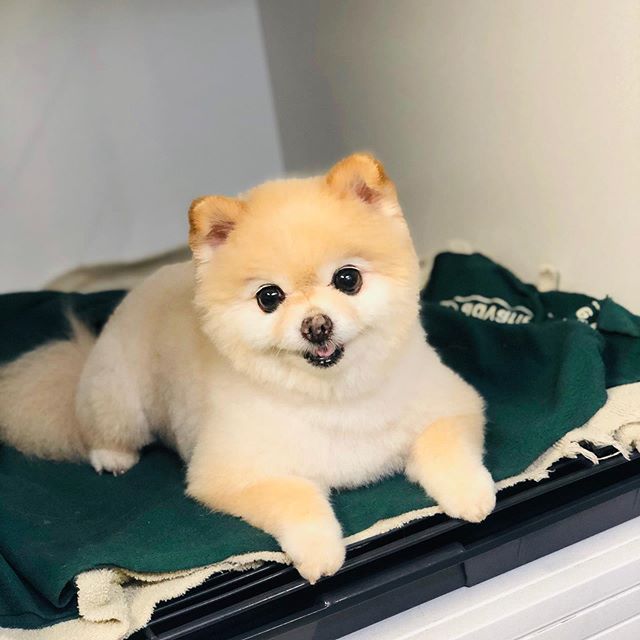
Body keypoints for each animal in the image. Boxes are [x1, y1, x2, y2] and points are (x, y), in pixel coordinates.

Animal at [0, 152, 496, 584]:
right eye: (269, 297)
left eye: (348, 279)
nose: (316, 325)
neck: (335, 397)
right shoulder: (233, 473)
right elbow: (296, 497)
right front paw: (320, 549)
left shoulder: (453, 405)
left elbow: (445, 444)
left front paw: (471, 493)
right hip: (119, 399)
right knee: (105, 428)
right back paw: (112, 456)